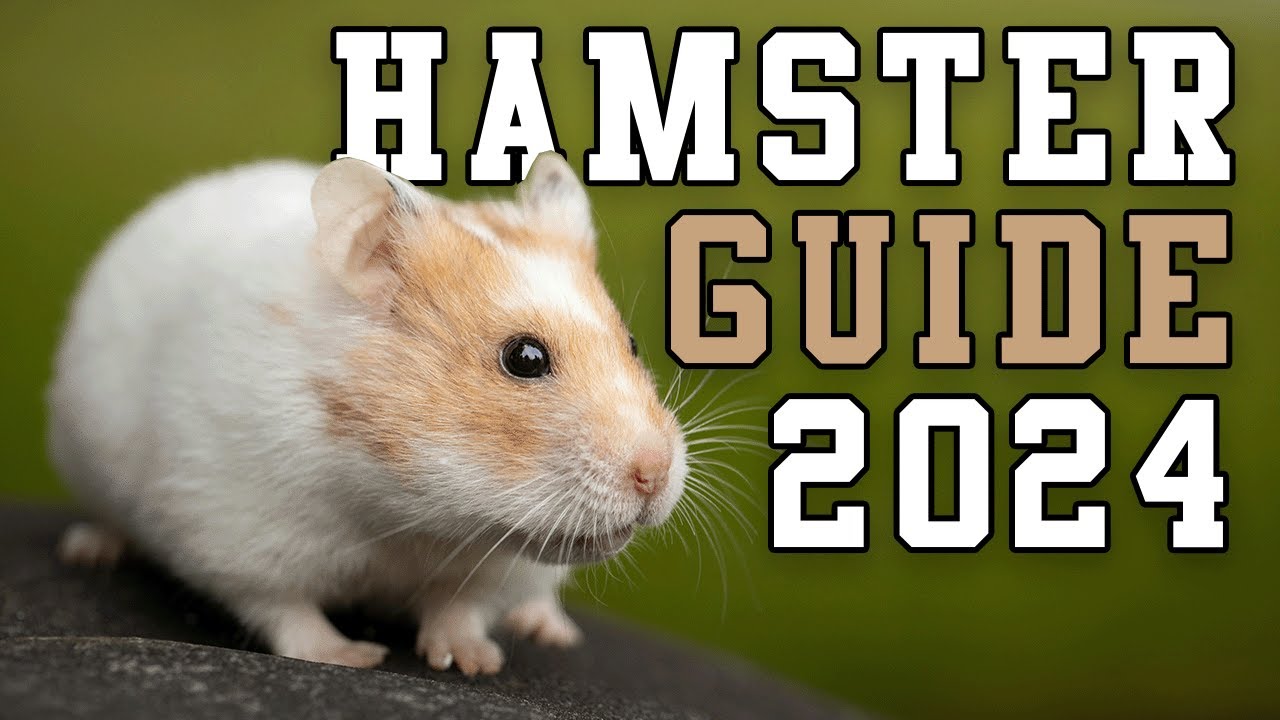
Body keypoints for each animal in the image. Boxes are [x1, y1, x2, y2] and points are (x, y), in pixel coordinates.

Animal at [47, 152, 688, 675]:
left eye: (632, 344)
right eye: (524, 358)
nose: (654, 474)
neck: (409, 513)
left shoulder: (493, 568)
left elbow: (459, 608)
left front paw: (474, 663)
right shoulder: (234, 528)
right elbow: (285, 611)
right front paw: (355, 657)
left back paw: (547, 628)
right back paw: (90, 549)